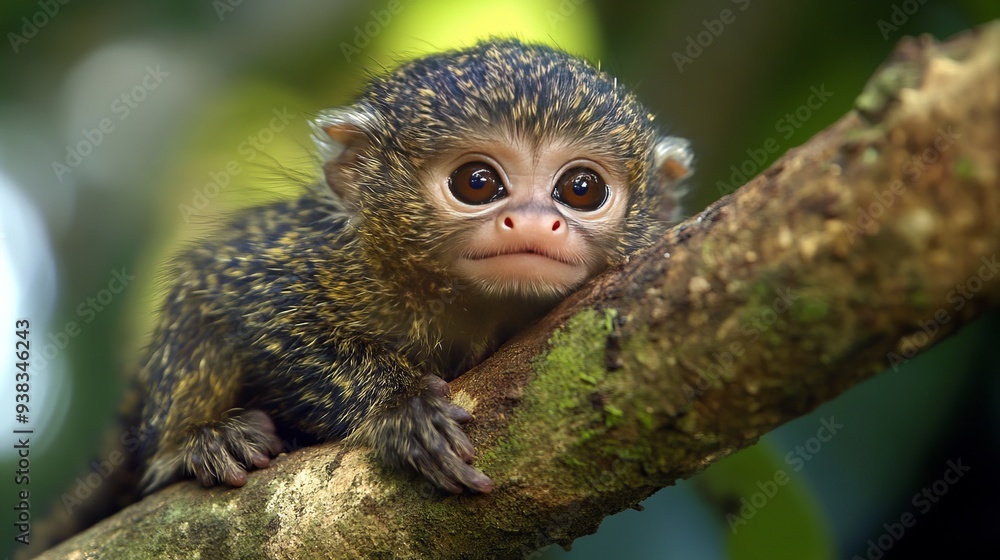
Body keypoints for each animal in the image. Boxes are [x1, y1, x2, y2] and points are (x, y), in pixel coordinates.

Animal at [136, 38, 693, 496]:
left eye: (582, 189)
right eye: (476, 182)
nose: (534, 223)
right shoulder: (313, 256)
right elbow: (254, 303)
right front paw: (401, 406)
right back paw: (199, 442)